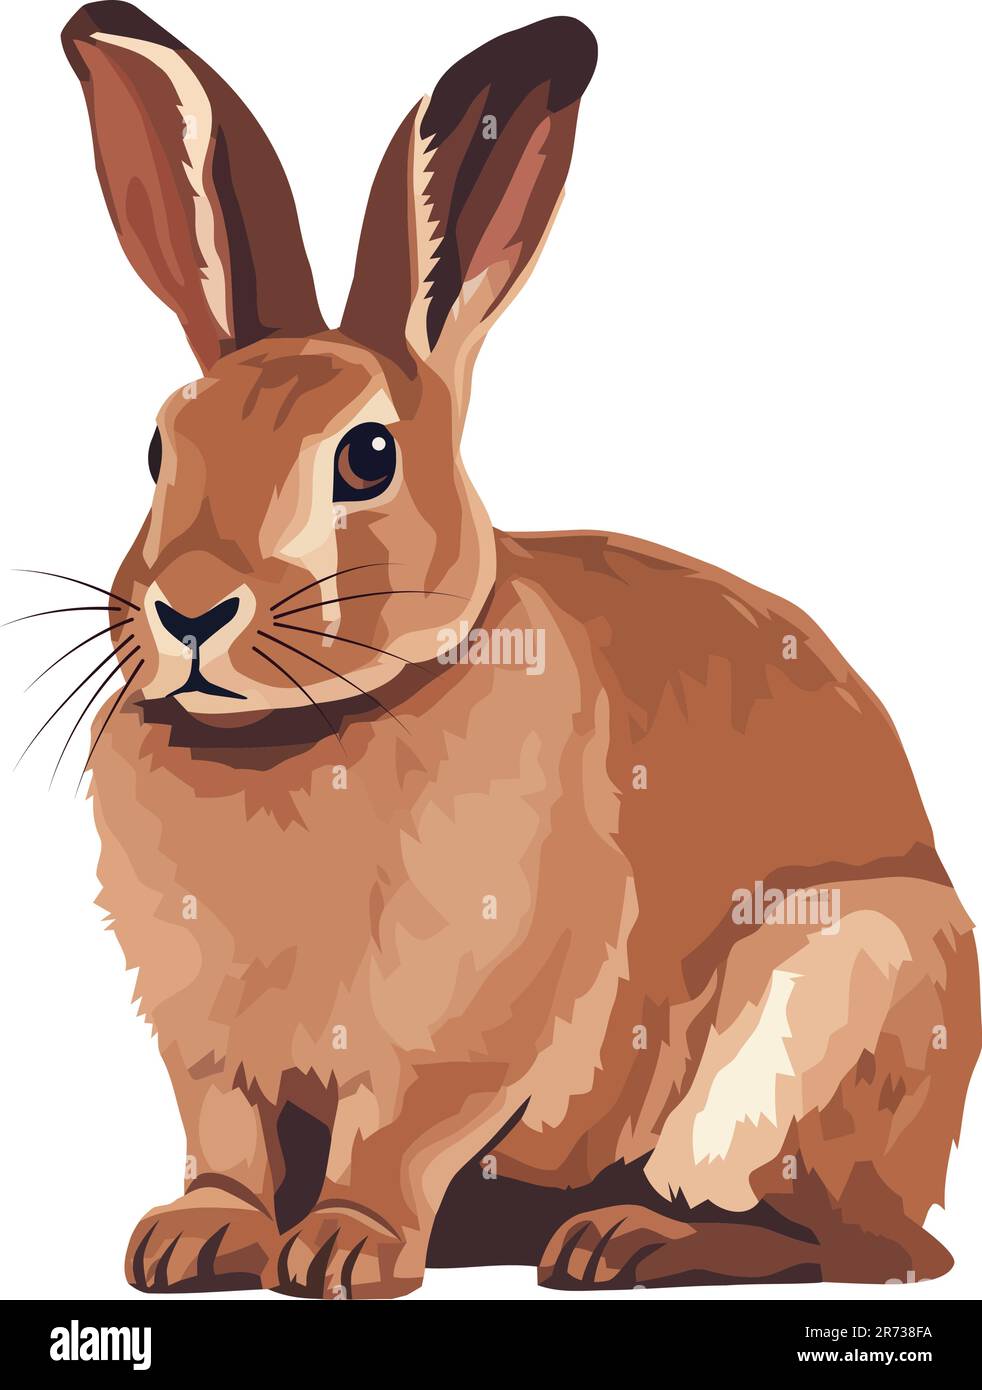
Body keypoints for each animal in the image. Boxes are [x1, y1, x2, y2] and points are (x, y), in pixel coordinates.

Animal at [55, 1, 979, 1299]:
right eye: (155, 448)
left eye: (367, 458)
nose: (189, 610)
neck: (304, 732)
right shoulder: (204, 1048)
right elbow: (226, 1140)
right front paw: (192, 1239)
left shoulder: (459, 1034)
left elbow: (394, 1140)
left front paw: (342, 1250)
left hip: (820, 1015)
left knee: (848, 1242)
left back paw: (622, 1239)